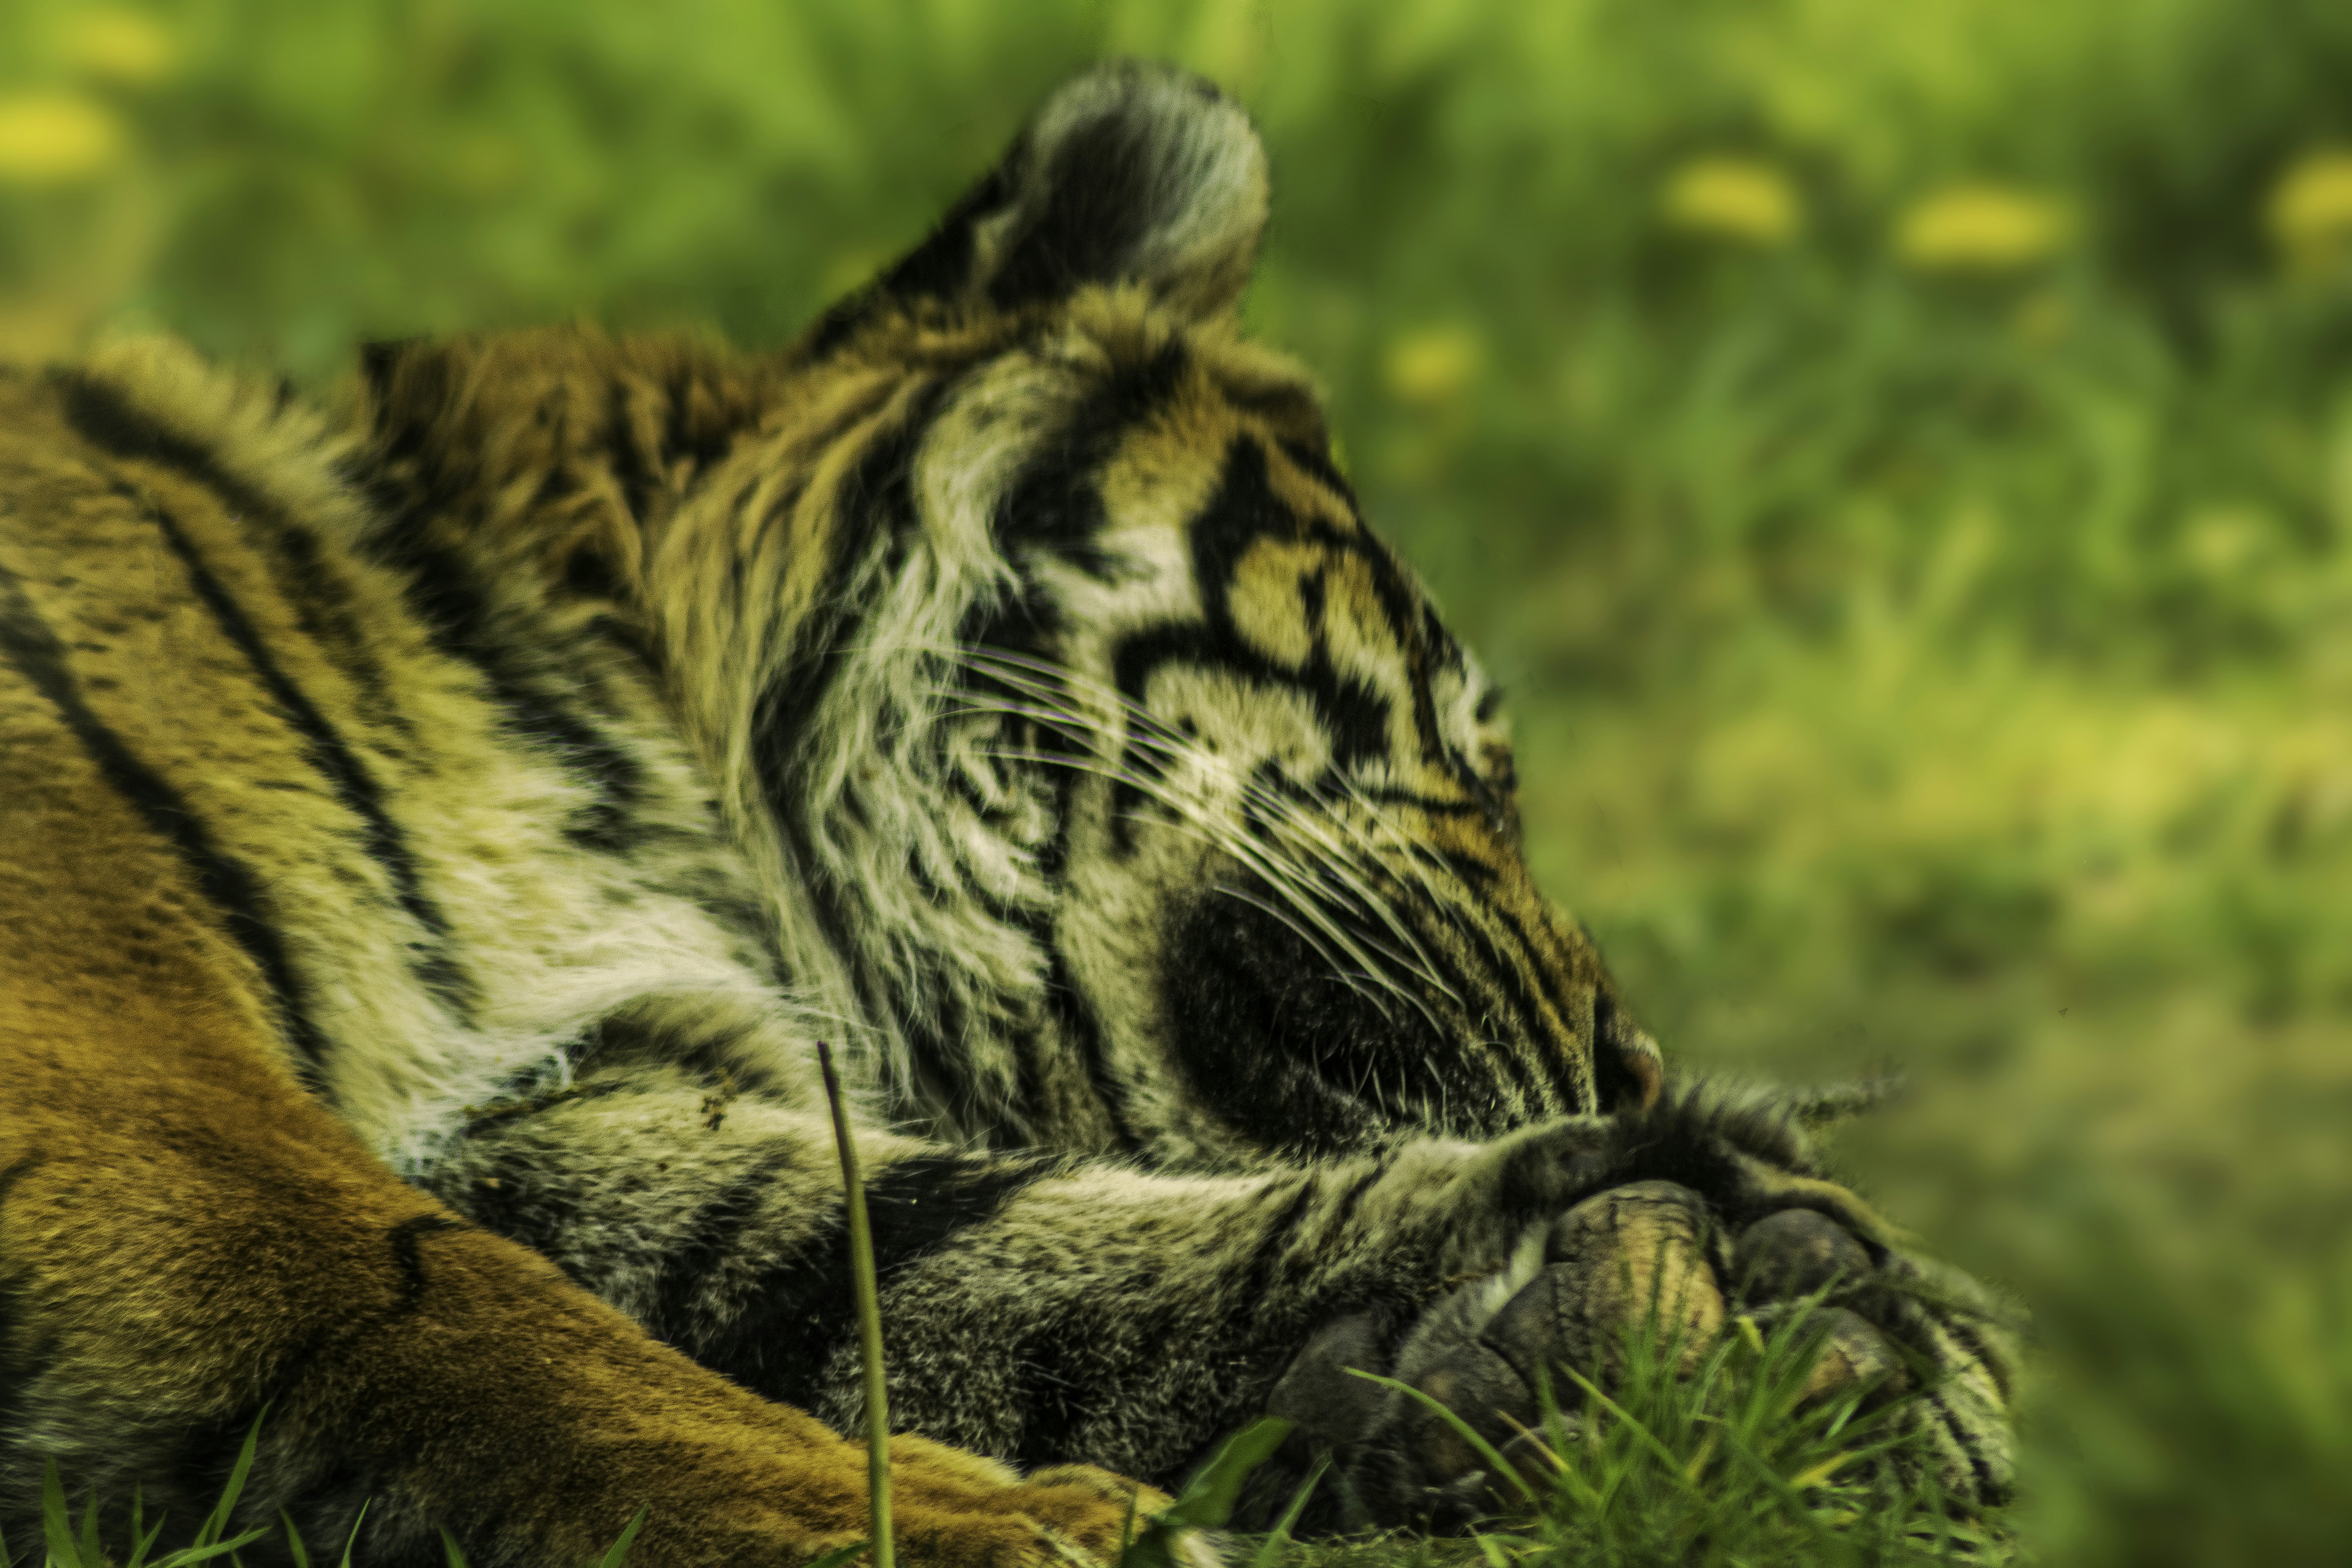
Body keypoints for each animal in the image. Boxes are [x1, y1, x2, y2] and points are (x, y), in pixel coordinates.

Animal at [0, 60, 2017, 1566]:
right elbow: (466, 1313)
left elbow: (897, 1250)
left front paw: (1753, 1308)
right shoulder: (104, 1037)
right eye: (1473, 751)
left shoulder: (561, 1101)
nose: (1629, 1057)